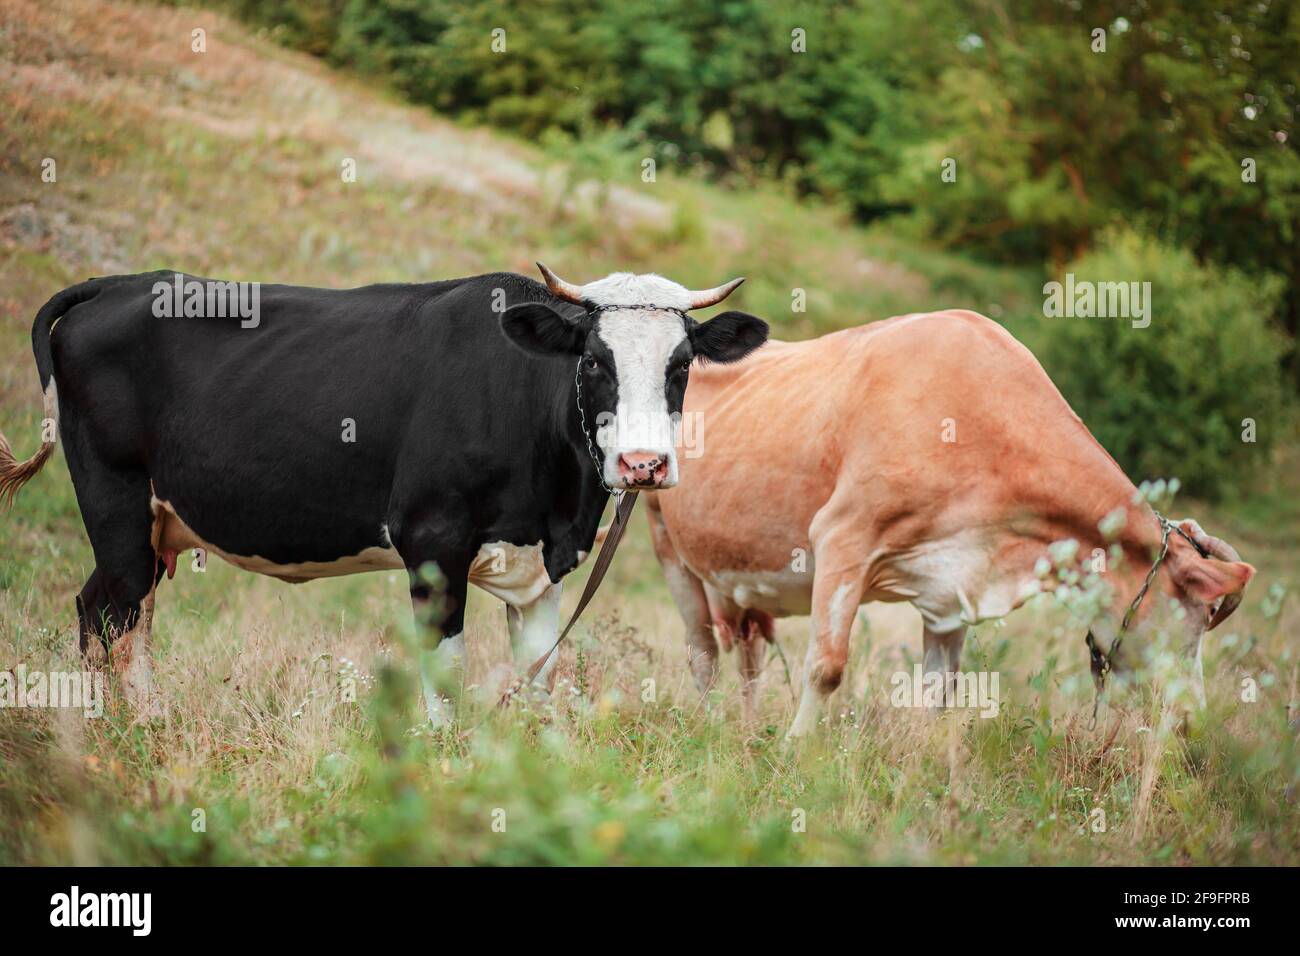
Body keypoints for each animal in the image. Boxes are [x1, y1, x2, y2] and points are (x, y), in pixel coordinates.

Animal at [0, 265, 769, 723]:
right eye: (593, 360)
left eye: (681, 364)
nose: (644, 464)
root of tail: (120, 283)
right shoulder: (433, 543)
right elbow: (445, 676)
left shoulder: (540, 568)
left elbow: (538, 675)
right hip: (115, 502)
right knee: (115, 613)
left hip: (157, 525)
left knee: (110, 610)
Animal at [645, 309, 1254, 737]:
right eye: (1197, 617)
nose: (1192, 719)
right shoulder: (843, 537)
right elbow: (826, 666)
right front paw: (797, 752)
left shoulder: (953, 579)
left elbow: (941, 687)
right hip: (666, 541)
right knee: (703, 652)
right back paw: (710, 726)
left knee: (746, 652)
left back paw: (747, 729)